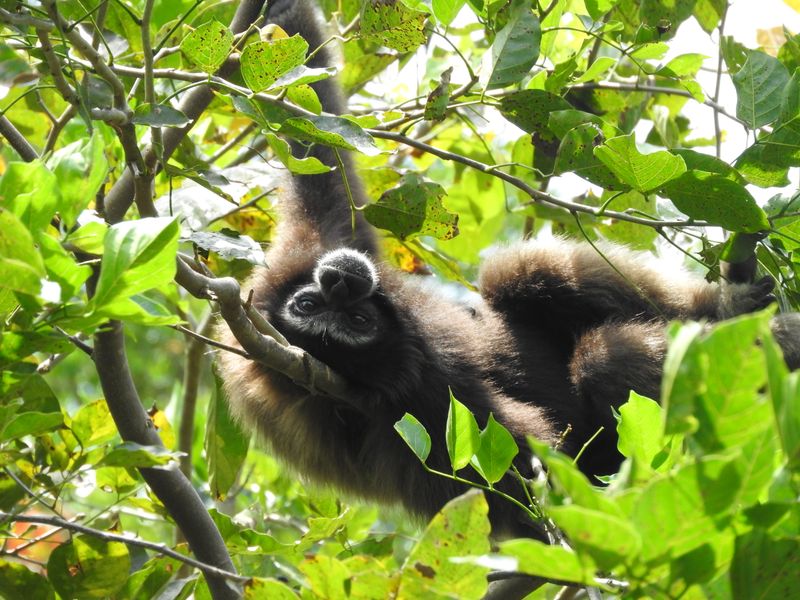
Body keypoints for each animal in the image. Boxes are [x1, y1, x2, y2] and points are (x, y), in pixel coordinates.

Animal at [216, 0, 800, 539]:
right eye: (330, 317)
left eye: (322, 304)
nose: (341, 282)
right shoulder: (428, 402)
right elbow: (531, 467)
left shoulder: (308, 248)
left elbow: (312, 133)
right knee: (597, 357)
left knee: (520, 273)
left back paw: (730, 304)